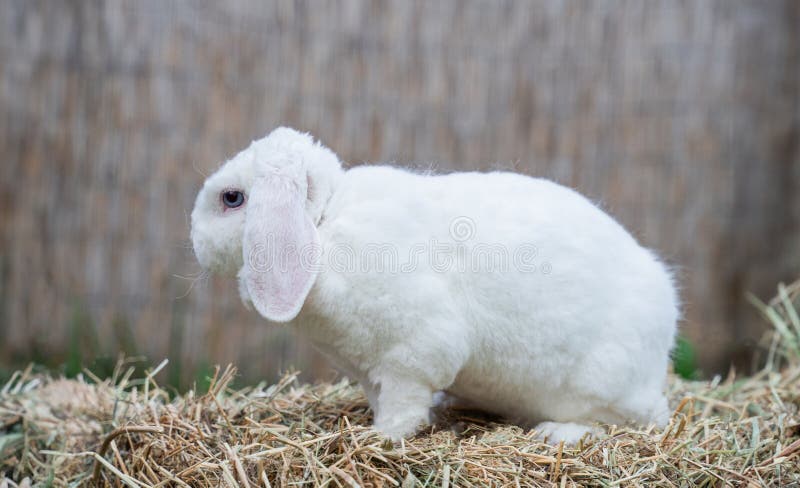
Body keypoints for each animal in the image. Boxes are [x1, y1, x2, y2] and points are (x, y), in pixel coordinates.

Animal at [191, 127, 679, 444]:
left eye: (231, 199)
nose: (194, 239)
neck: (323, 227)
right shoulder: (368, 369)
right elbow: (379, 396)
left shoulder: (413, 356)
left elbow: (403, 406)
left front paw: (381, 438)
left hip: (601, 385)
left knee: (625, 420)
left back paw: (557, 433)